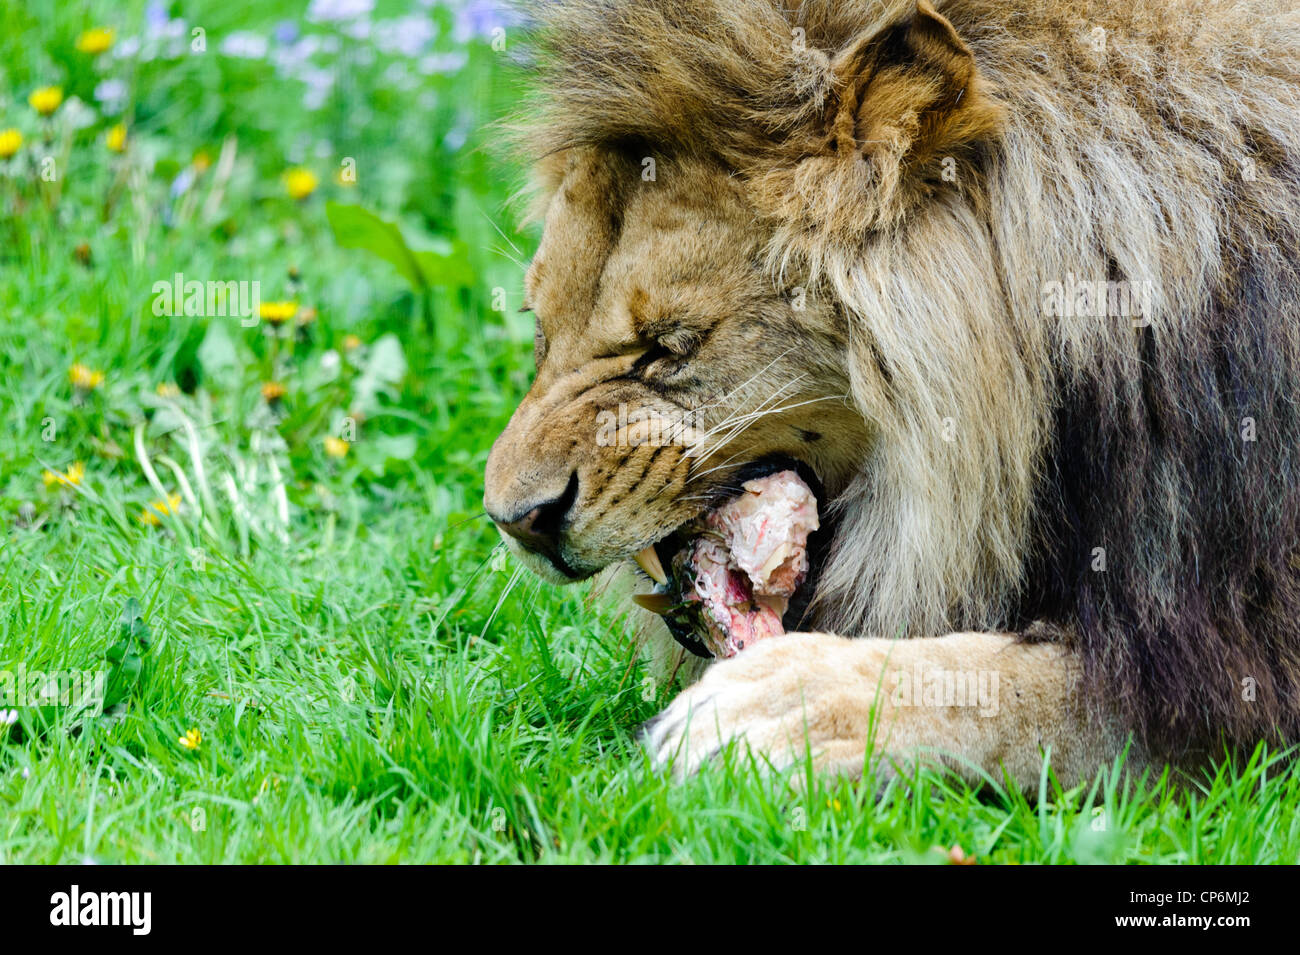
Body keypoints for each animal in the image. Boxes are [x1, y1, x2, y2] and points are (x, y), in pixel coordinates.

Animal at [483, 0, 1300, 786]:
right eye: (540, 331)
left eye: (667, 346)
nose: (515, 521)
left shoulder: (1222, 657)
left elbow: (999, 680)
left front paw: (784, 707)